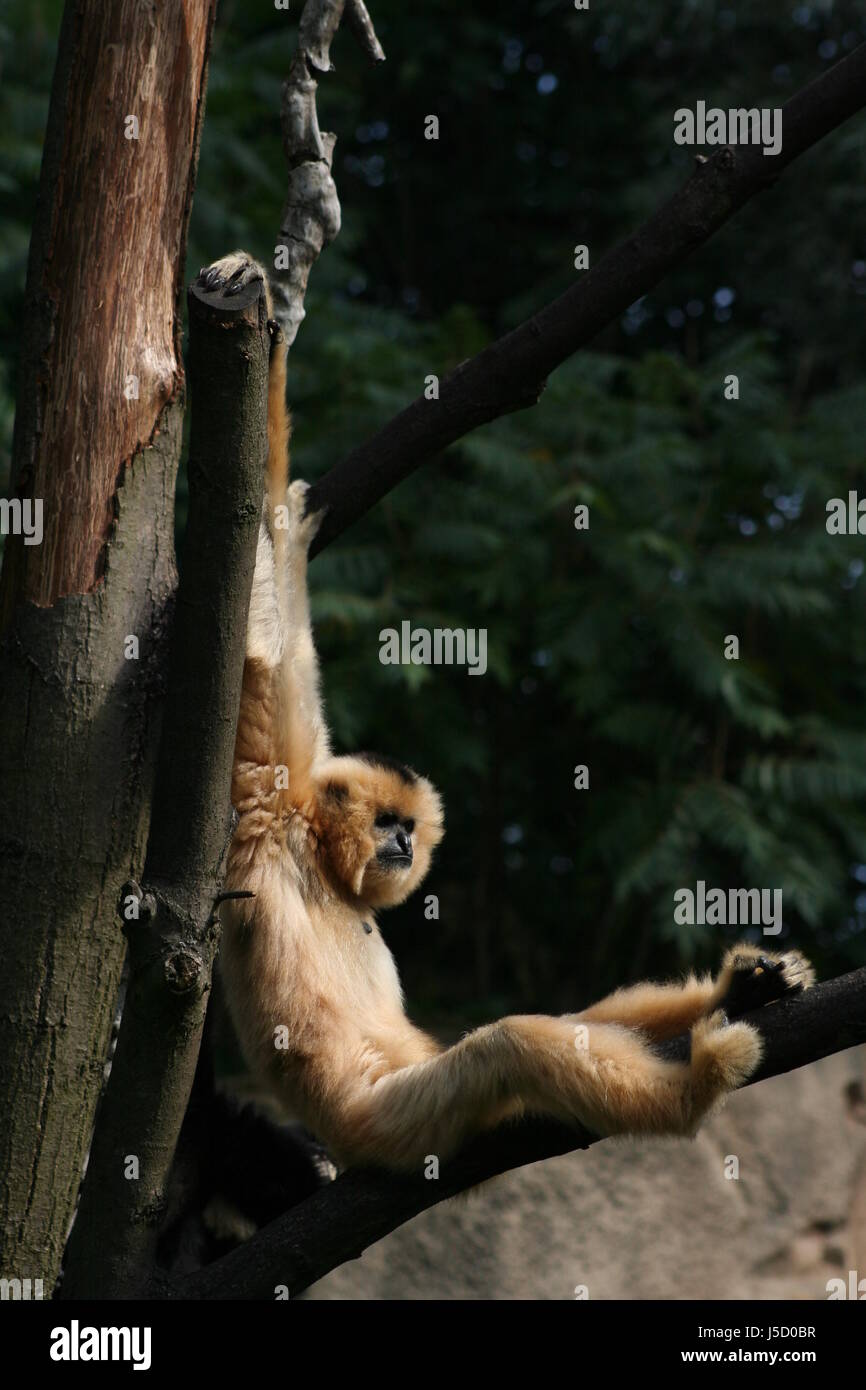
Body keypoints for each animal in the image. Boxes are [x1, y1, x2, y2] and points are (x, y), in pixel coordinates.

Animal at [199, 252, 815, 1174]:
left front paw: (292, 533)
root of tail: (347, 1140)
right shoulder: (268, 808)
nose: (401, 845)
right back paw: (695, 1091)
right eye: (389, 823)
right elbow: (267, 666)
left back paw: (735, 991)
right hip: (399, 1122)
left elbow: (285, 648)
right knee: (509, 1046)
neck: (322, 868)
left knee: (562, 1025)